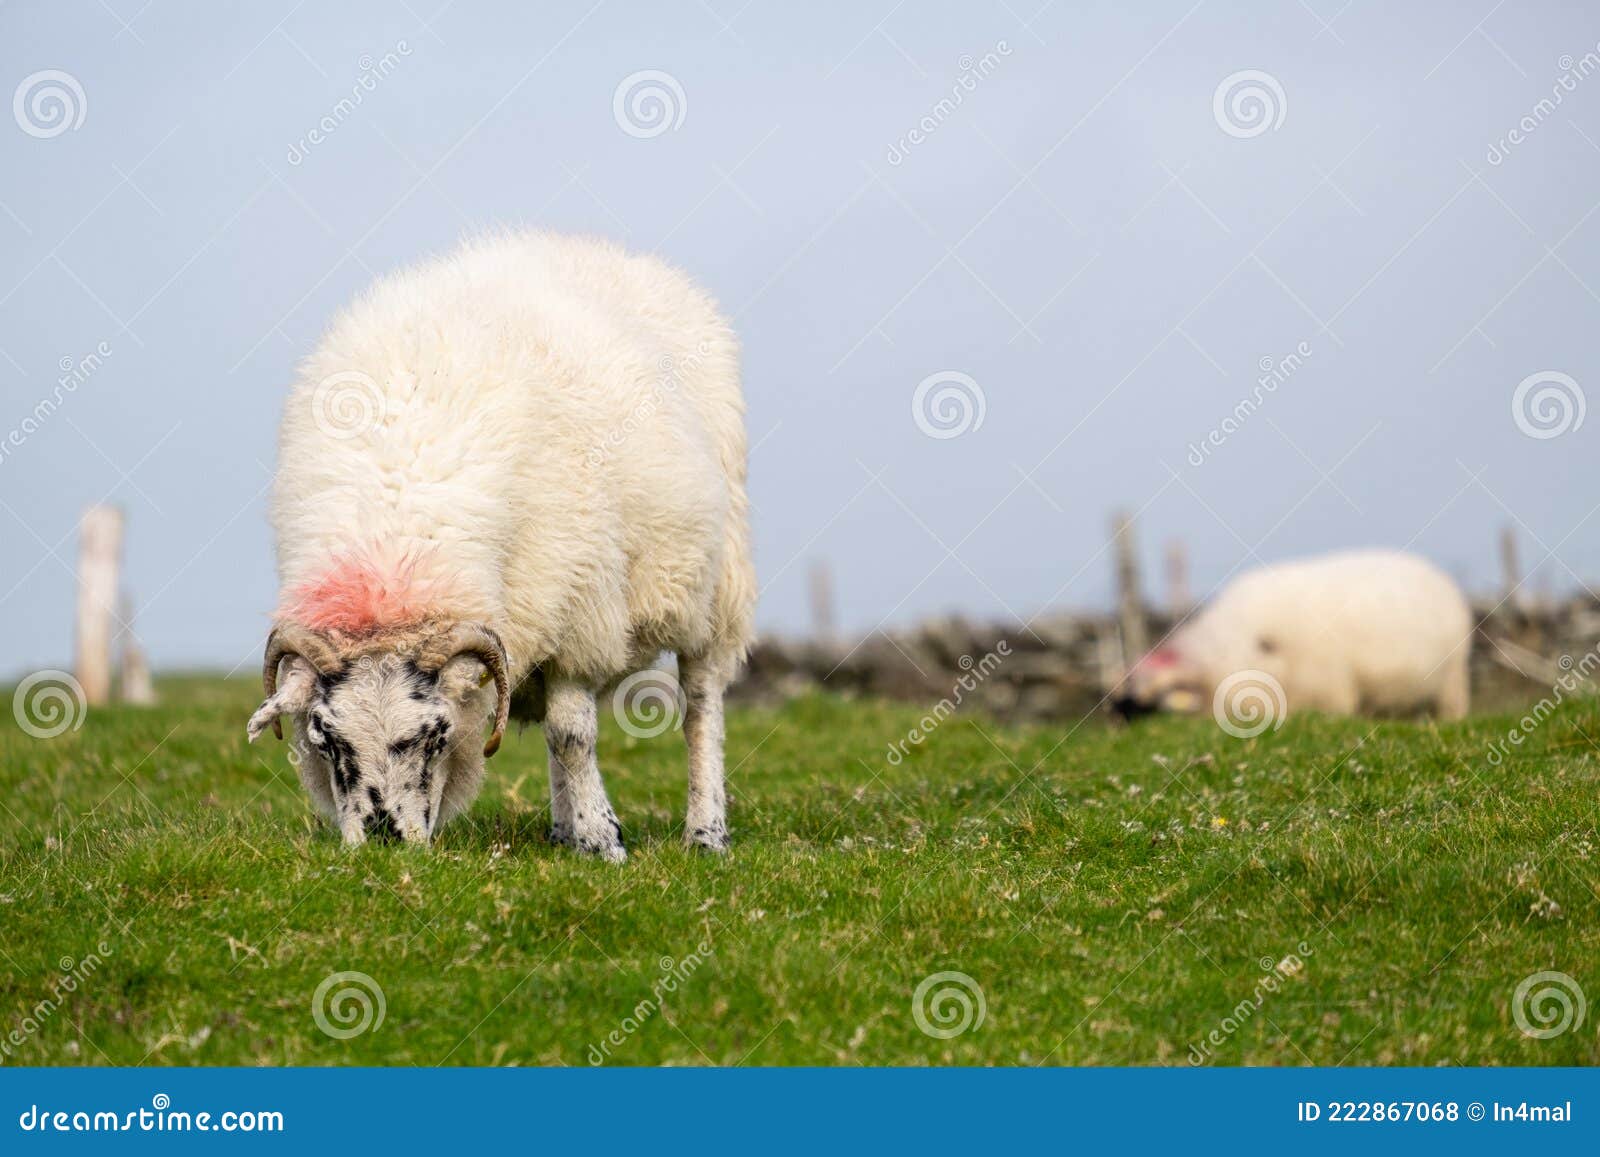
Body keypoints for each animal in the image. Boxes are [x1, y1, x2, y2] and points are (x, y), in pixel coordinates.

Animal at [246, 232, 756, 858]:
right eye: (325, 737)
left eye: (437, 735)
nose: (386, 842)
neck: (392, 540)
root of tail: (594, 247)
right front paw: (585, 832)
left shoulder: (577, 612)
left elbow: (571, 734)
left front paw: (604, 842)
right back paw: (563, 830)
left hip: (714, 586)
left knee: (701, 707)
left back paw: (705, 832)